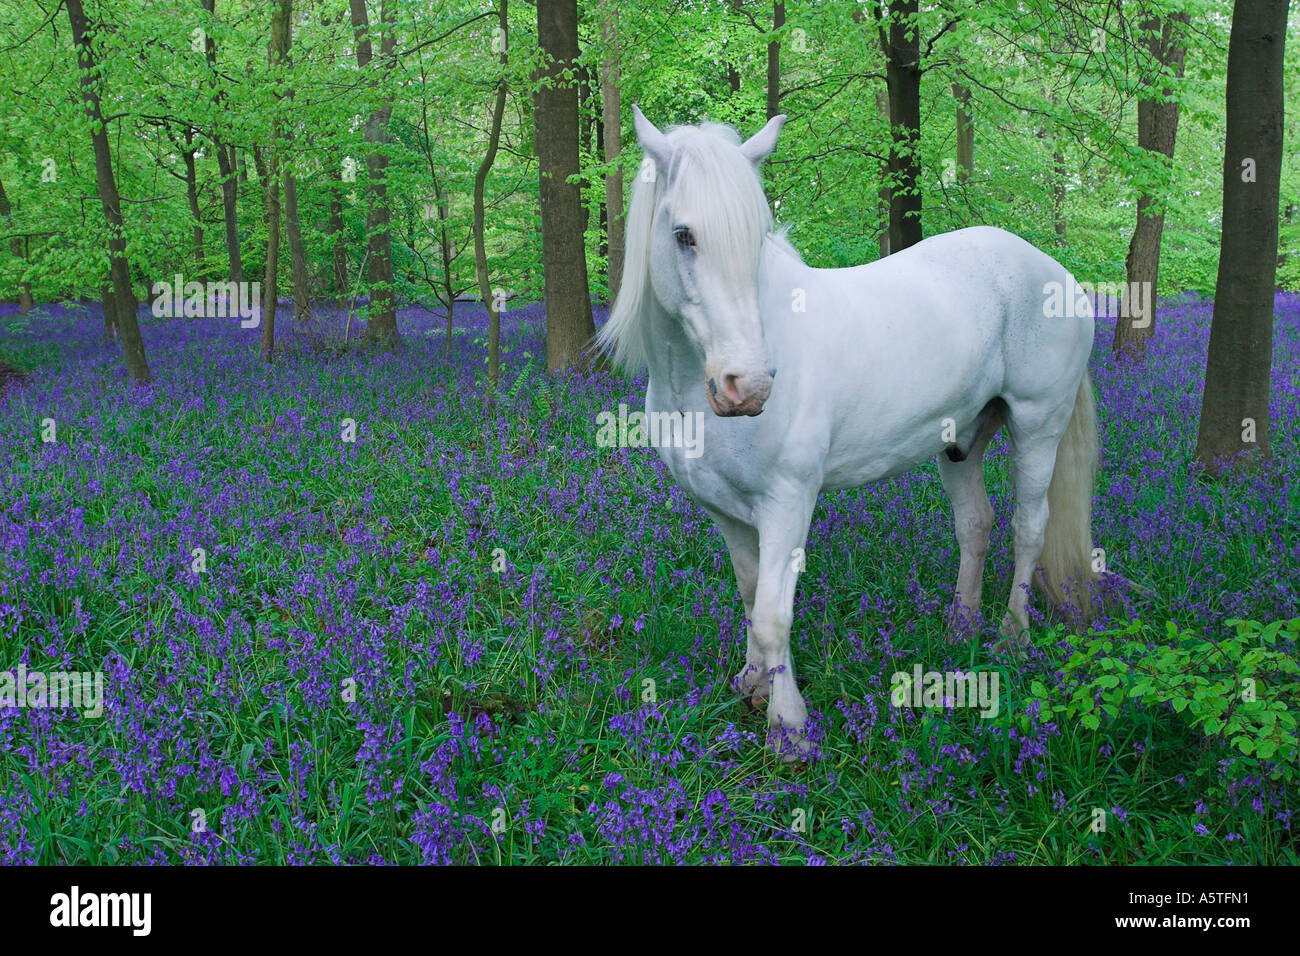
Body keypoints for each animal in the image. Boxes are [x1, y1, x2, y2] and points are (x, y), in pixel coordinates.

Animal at [598, 107, 1100, 758]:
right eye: (684, 234)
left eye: (757, 236)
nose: (748, 386)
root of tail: (1058, 273)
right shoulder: (725, 509)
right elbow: (751, 592)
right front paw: (752, 685)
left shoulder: (788, 500)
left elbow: (773, 613)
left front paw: (789, 728)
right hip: (960, 443)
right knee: (976, 525)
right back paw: (960, 625)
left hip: (1039, 426)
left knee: (1028, 528)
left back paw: (1012, 636)